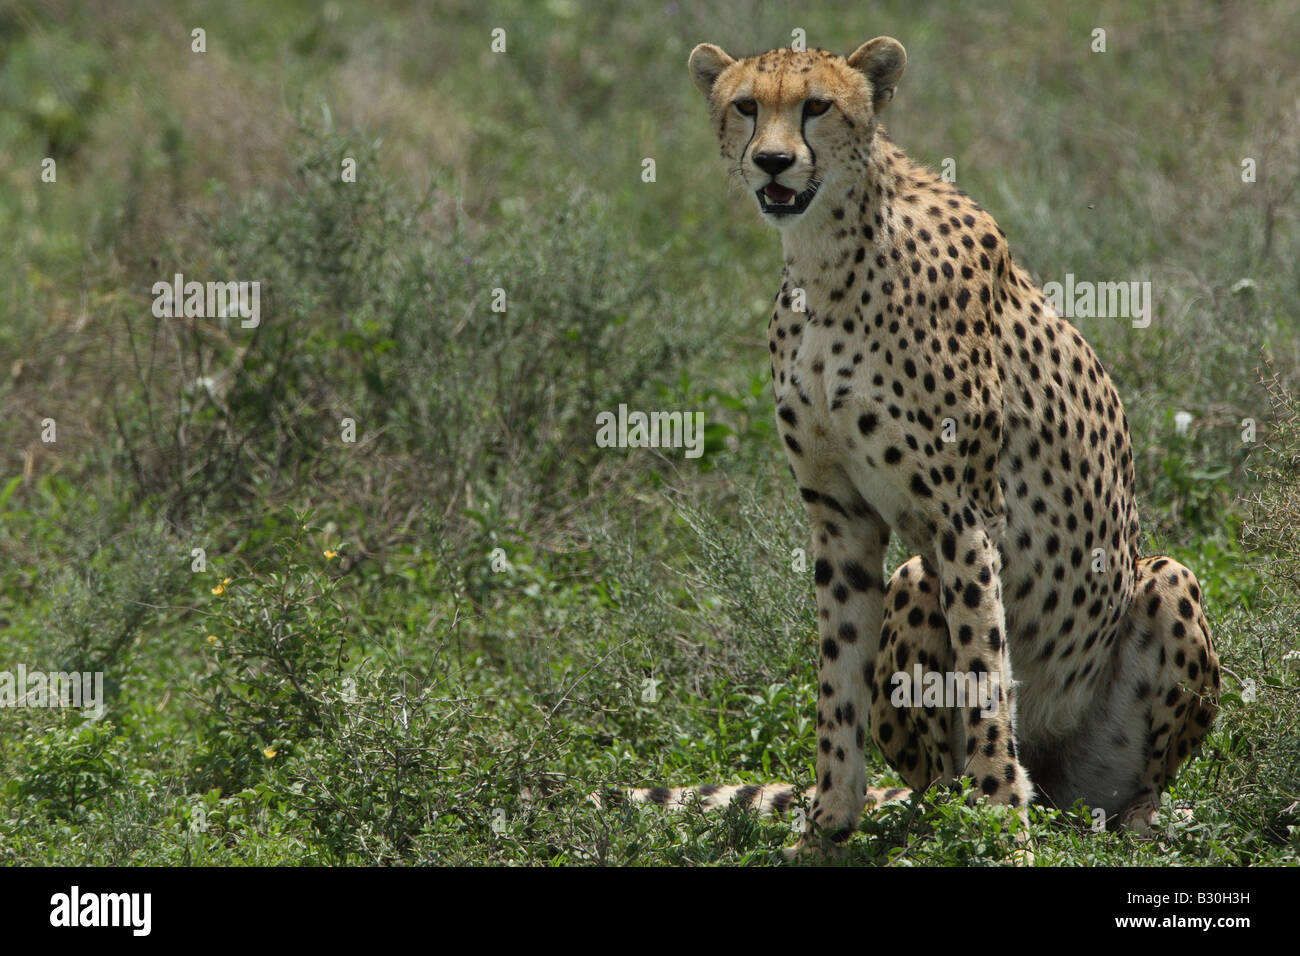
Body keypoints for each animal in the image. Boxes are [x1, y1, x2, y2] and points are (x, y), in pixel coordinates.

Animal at [596, 36, 1219, 857]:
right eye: (746, 106)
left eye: (816, 106)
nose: (772, 162)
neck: (828, 259)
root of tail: (1062, 790)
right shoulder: (840, 517)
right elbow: (837, 678)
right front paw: (827, 827)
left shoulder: (966, 515)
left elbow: (985, 673)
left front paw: (1002, 828)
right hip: (914, 581)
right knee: (928, 780)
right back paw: (938, 815)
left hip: (1161, 583)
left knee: (1130, 777)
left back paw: (1117, 815)